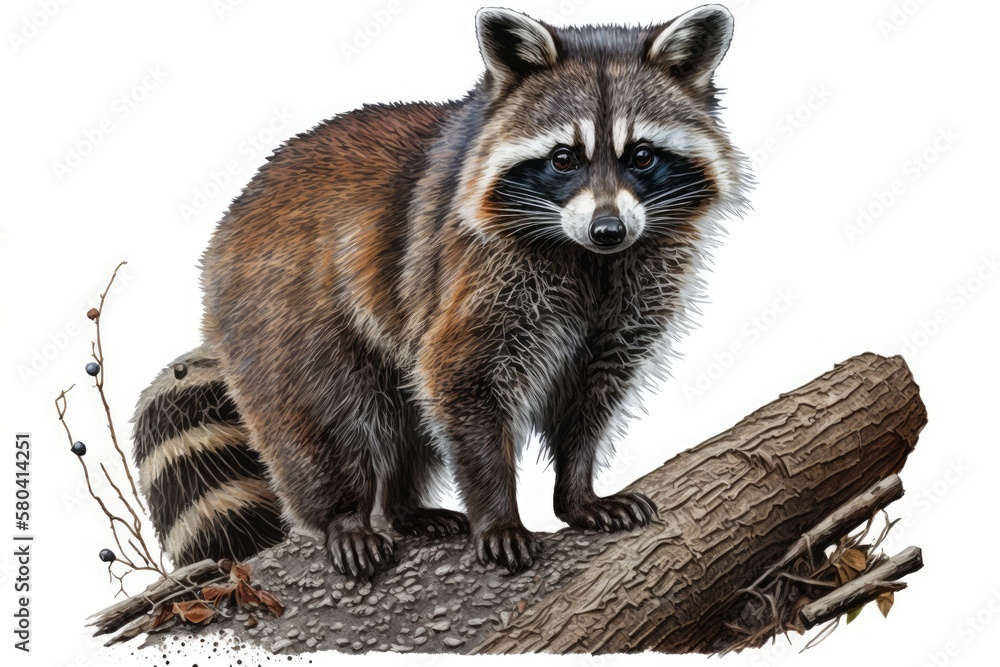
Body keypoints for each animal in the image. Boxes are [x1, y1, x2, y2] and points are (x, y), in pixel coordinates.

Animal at [136, 5, 749, 577]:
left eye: (641, 155)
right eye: (563, 159)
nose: (608, 229)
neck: (589, 260)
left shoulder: (636, 290)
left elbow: (591, 393)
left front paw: (577, 492)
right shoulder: (476, 269)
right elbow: (462, 379)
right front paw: (499, 514)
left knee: (403, 416)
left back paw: (404, 508)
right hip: (284, 309)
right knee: (326, 414)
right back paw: (344, 516)